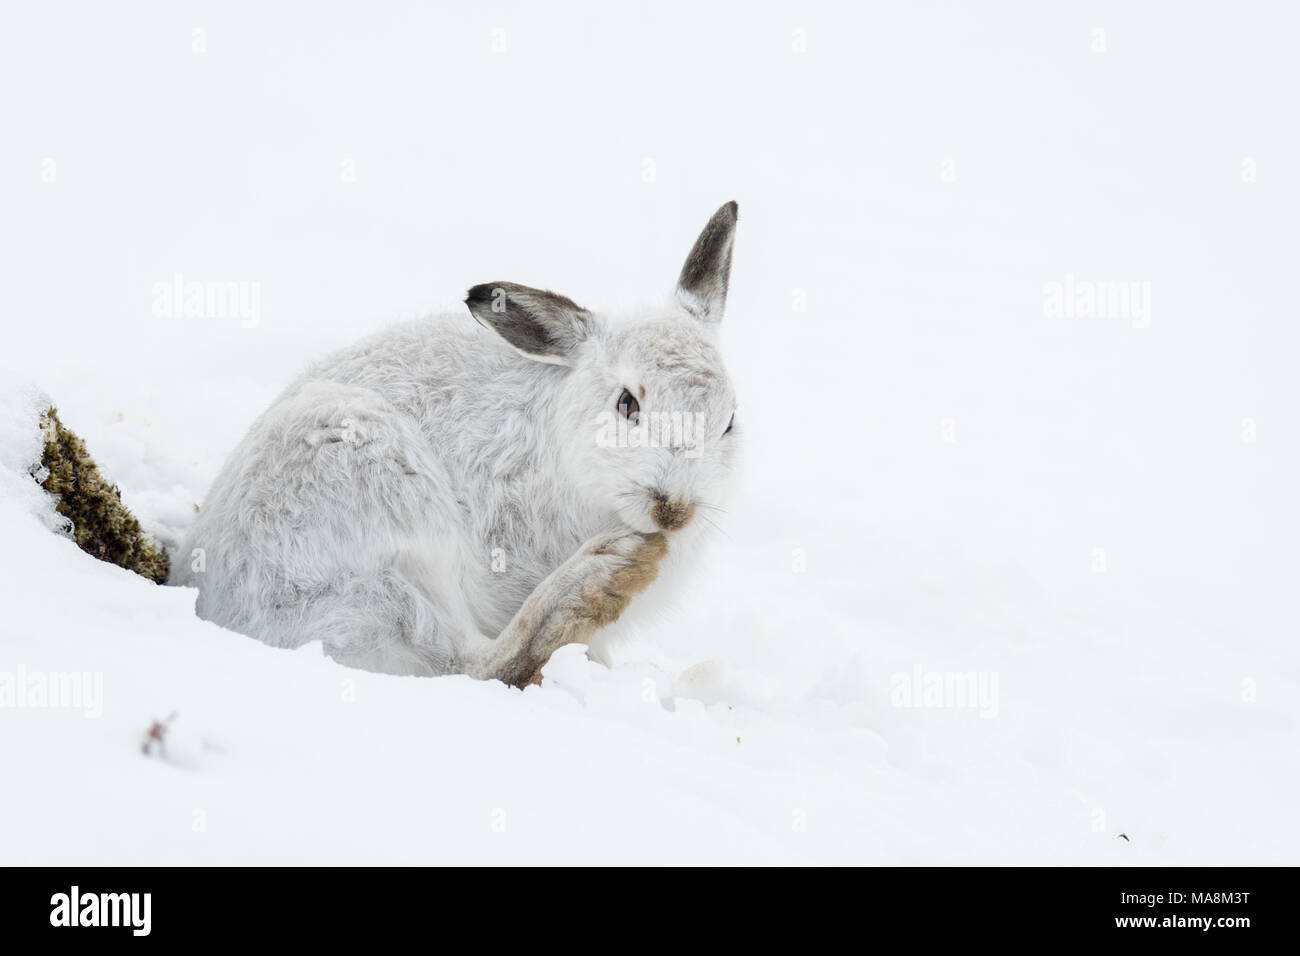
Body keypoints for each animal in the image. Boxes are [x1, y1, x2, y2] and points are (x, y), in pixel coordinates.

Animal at [171, 202, 742, 687]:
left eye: (730, 421)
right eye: (627, 403)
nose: (673, 512)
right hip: (366, 492)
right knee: (466, 663)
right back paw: (606, 574)